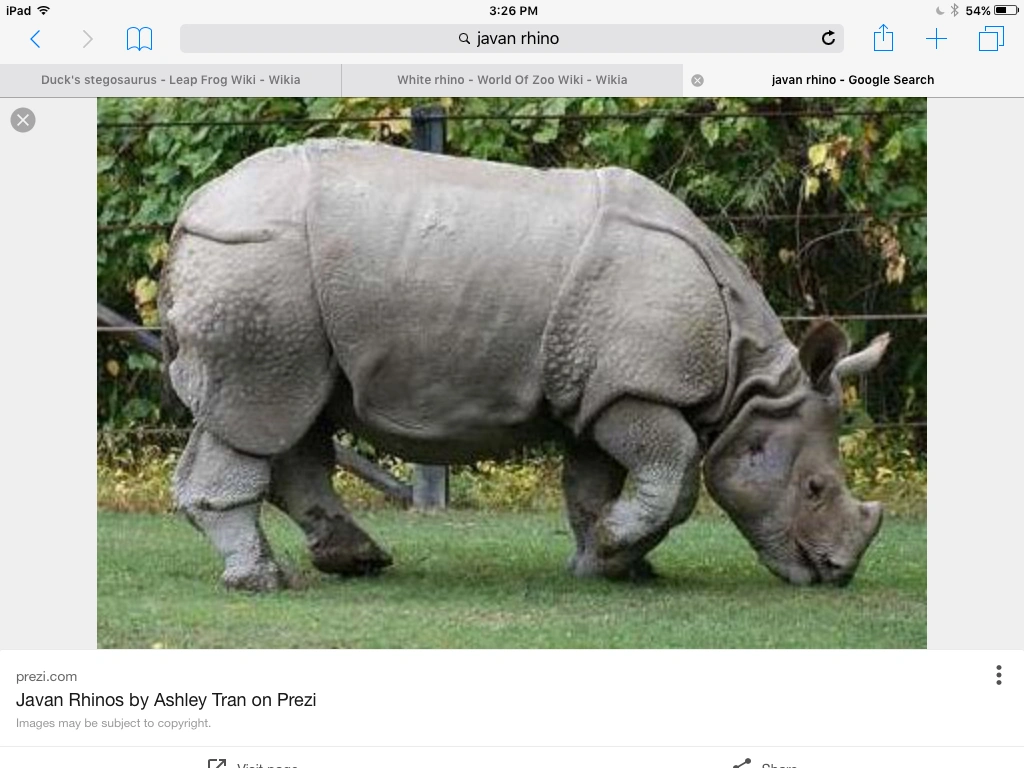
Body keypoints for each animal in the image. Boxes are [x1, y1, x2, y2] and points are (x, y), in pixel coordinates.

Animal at [160, 138, 889, 592]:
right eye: (815, 488)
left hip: (276, 288)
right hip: (259, 269)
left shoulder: (597, 390)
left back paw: (356, 560)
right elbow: (676, 472)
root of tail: (194, 209)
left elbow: (591, 486)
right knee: (259, 411)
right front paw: (617, 549)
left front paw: (608, 561)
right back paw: (264, 581)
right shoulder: (634, 387)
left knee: (295, 415)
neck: (748, 378)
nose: (837, 573)